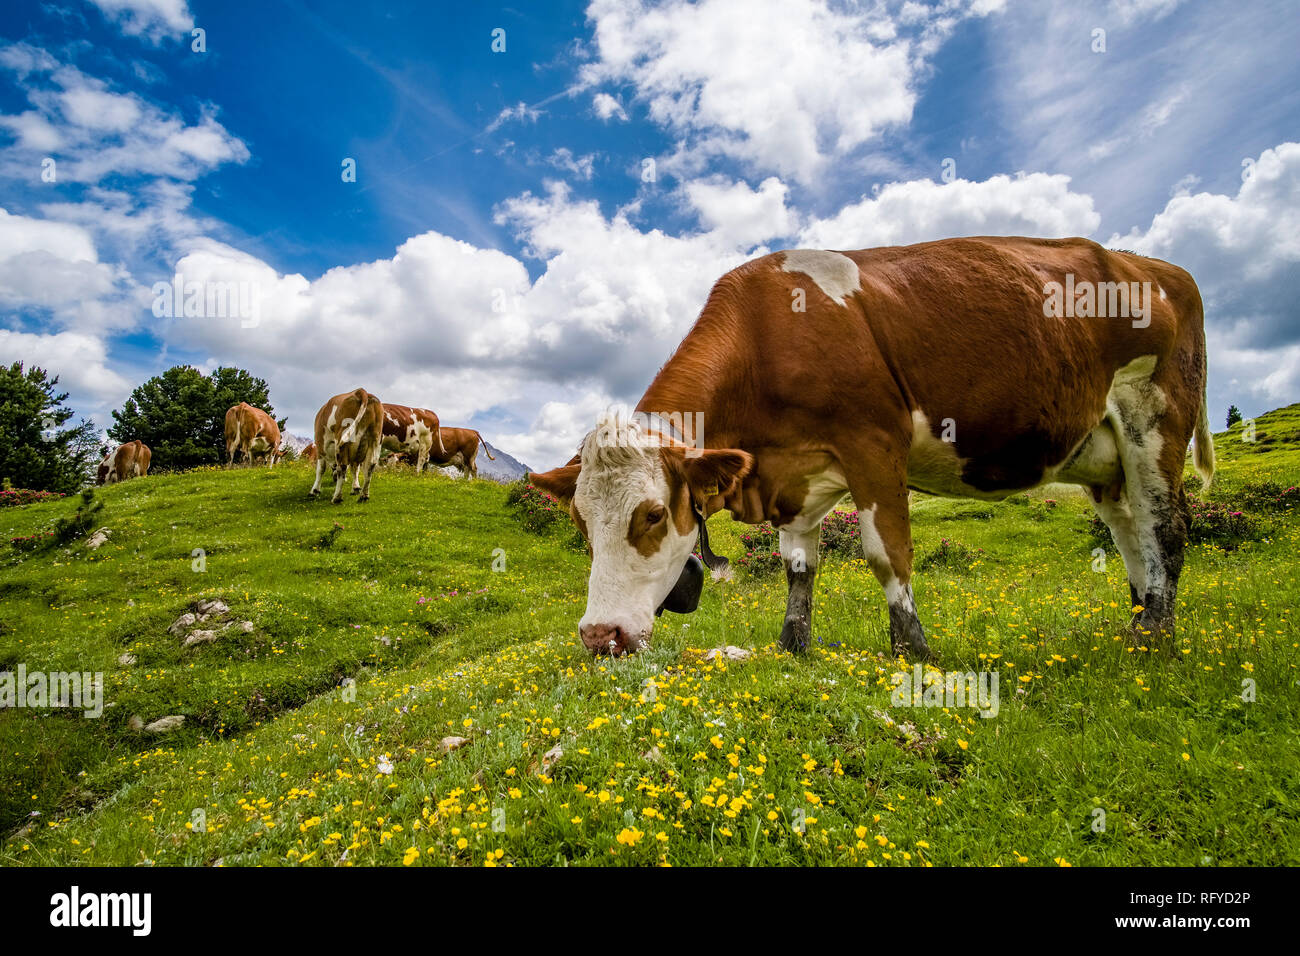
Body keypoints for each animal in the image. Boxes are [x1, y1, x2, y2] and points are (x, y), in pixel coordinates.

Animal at [529, 237, 1214, 659]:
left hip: (1155, 417)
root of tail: (1162, 269)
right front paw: (793, 646)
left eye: (650, 515)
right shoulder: (796, 476)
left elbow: (887, 555)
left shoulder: (874, 445)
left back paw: (1156, 635)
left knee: (1166, 526)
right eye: (581, 524)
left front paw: (913, 649)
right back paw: (1136, 619)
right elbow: (798, 567)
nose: (599, 636)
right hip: (1104, 455)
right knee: (1130, 531)